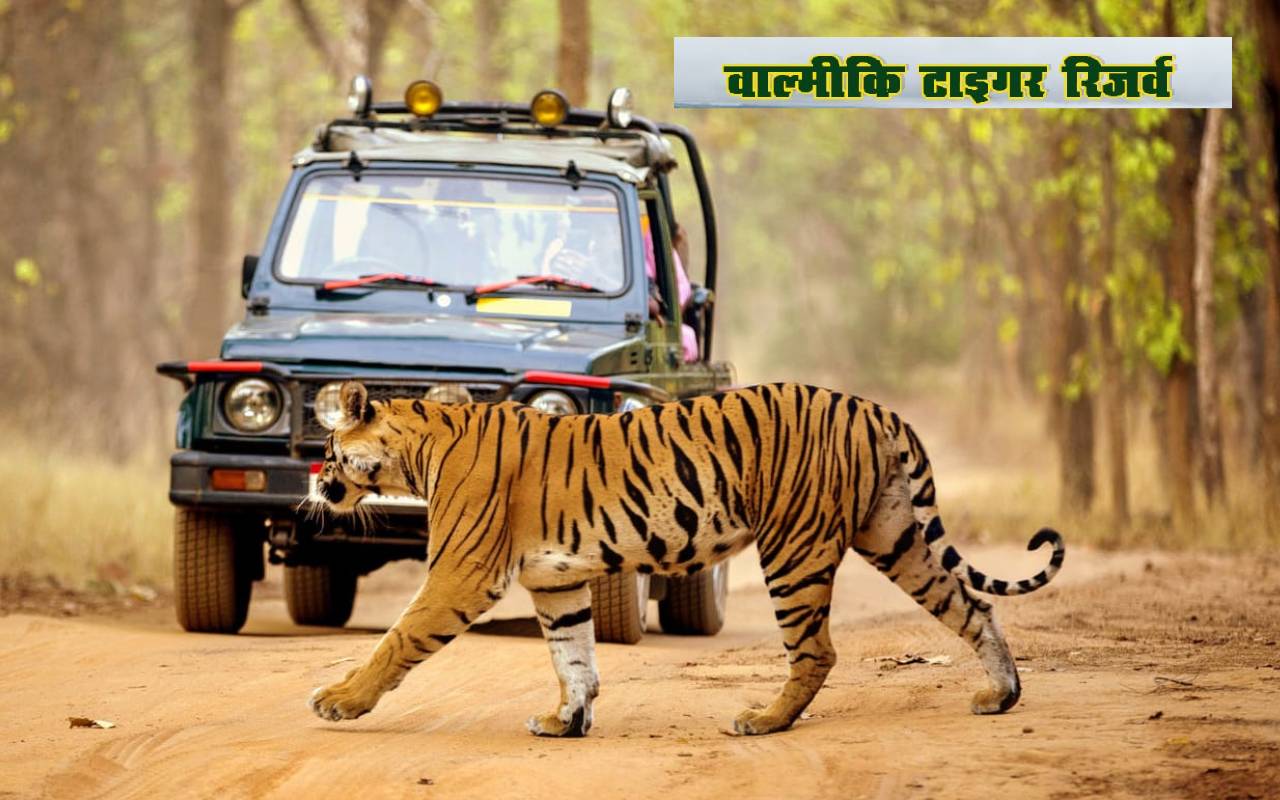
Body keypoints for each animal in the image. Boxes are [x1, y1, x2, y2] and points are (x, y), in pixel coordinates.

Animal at [307, 381, 1065, 737]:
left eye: (330, 449)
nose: (316, 483)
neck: (417, 450)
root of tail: (871, 407)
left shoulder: (462, 574)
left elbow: (398, 639)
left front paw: (339, 700)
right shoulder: (556, 584)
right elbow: (573, 658)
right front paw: (566, 723)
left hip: (794, 547)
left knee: (816, 650)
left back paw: (764, 721)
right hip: (894, 536)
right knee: (971, 604)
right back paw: (1001, 696)